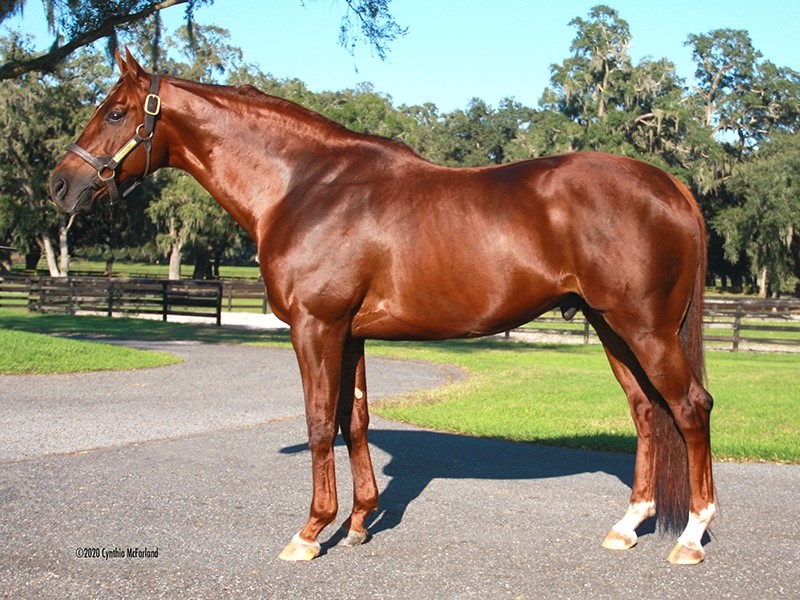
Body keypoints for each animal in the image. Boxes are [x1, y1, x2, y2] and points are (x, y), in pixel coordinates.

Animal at [50, 50, 716, 565]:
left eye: (115, 112)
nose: (60, 184)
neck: (304, 185)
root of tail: (671, 185)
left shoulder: (315, 327)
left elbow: (321, 422)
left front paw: (310, 532)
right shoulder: (350, 333)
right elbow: (356, 419)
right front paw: (361, 522)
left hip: (646, 329)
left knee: (689, 407)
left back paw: (691, 536)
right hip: (611, 327)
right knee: (646, 411)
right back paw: (627, 527)